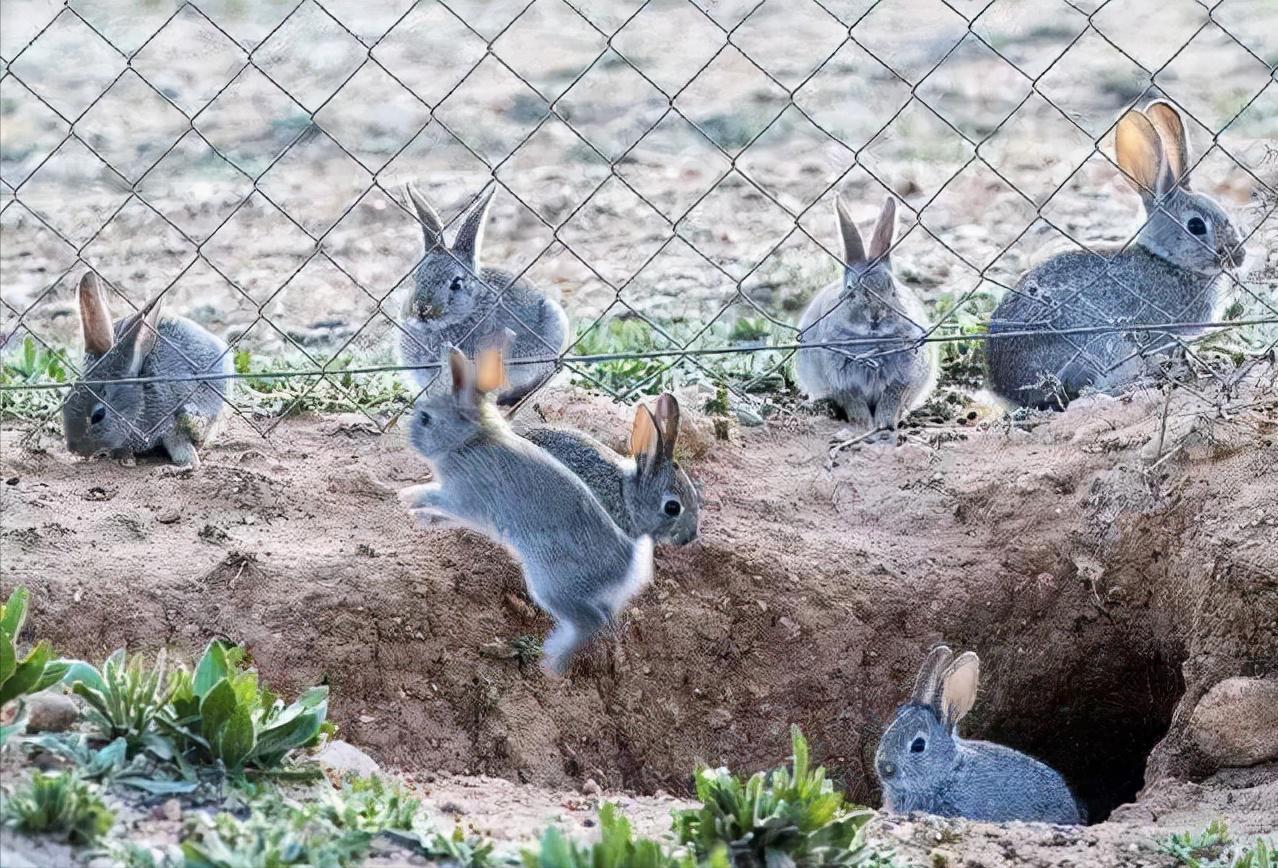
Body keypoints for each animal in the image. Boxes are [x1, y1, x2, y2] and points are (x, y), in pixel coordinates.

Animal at [62, 272, 232, 467]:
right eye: (65, 399)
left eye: (98, 415)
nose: (73, 449)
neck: (140, 400)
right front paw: (125, 459)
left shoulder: (172, 426)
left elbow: (182, 447)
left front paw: (186, 465)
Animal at [397, 341, 653, 674]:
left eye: (426, 419)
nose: (409, 438)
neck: (469, 442)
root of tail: (630, 567)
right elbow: (444, 516)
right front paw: (421, 517)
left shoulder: (461, 495)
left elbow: (436, 496)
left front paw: (408, 496)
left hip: (551, 584)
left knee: (589, 621)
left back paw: (553, 660)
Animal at [796, 195, 938, 433]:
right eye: (851, 291)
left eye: (892, 289)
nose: (875, 317)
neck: (871, 341)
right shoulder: (843, 383)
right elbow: (854, 401)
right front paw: (864, 424)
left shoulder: (903, 379)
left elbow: (891, 399)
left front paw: (884, 423)